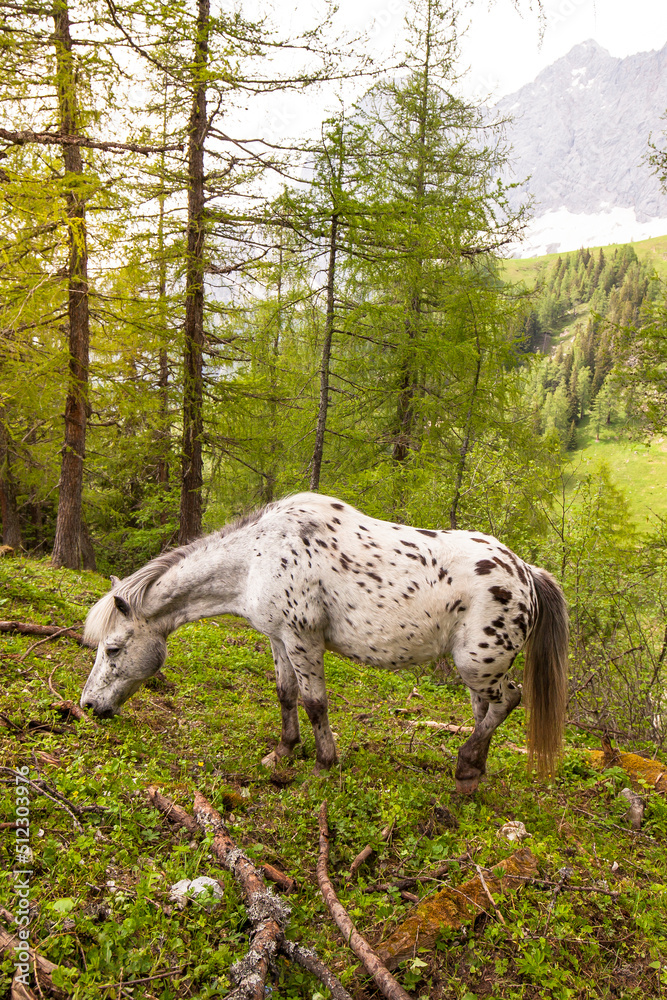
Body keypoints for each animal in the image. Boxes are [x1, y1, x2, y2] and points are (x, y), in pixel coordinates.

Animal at [80, 492, 568, 793]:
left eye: (113, 649)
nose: (87, 706)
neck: (256, 556)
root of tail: (526, 571)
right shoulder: (278, 638)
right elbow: (286, 693)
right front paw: (283, 753)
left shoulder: (303, 639)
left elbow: (315, 702)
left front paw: (323, 765)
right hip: (477, 669)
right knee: (484, 710)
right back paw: (471, 773)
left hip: (478, 664)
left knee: (509, 700)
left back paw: (467, 763)